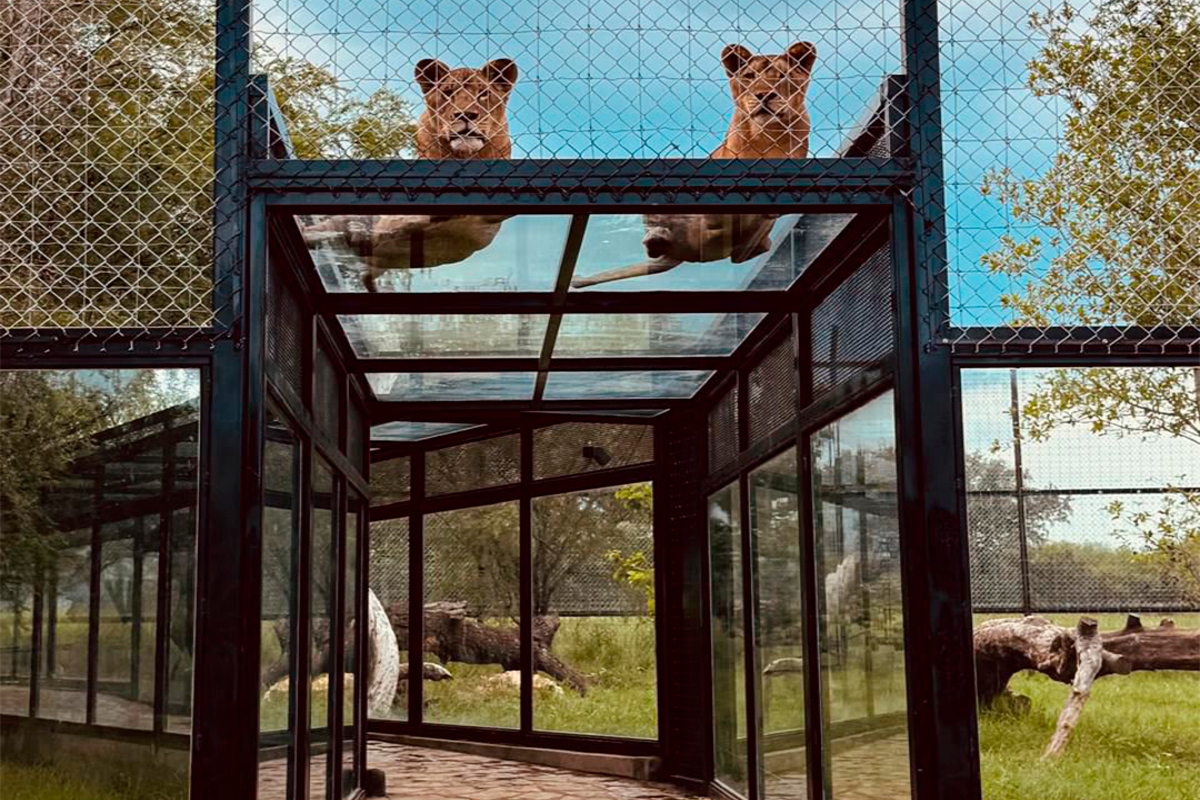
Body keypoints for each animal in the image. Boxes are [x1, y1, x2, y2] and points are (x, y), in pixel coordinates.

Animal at [571, 42, 816, 289]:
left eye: (783, 76)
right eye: (749, 76)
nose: (764, 95)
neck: (767, 137)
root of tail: (685, 254)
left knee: (745, 251)